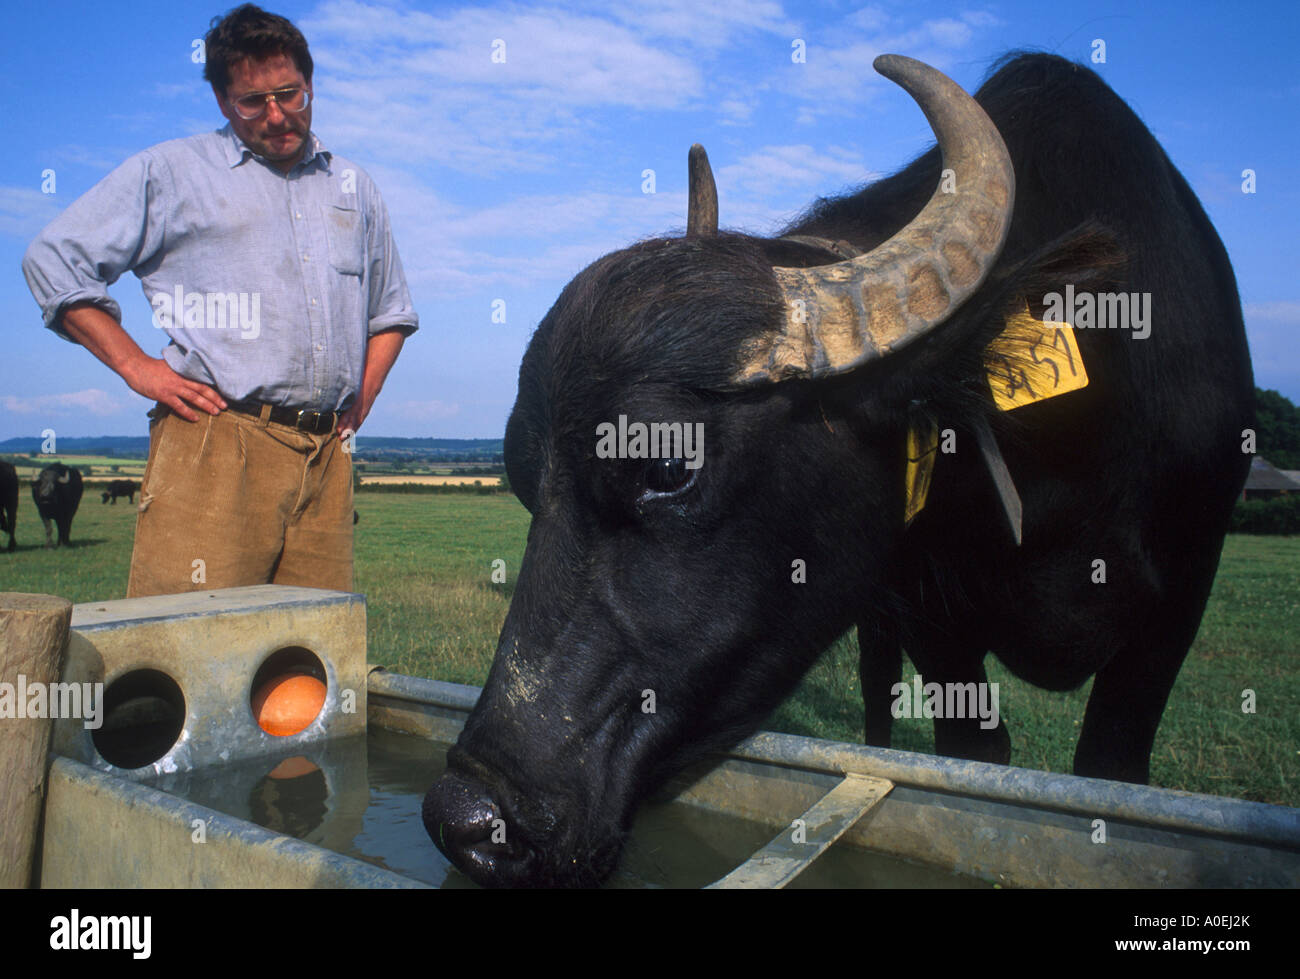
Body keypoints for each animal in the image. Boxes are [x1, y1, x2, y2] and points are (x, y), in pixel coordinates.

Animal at [423, 53, 1254, 887]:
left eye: (666, 463)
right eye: (521, 473)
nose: (467, 818)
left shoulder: (1180, 604)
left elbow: (1112, 769)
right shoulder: (926, 613)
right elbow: (974, 748)